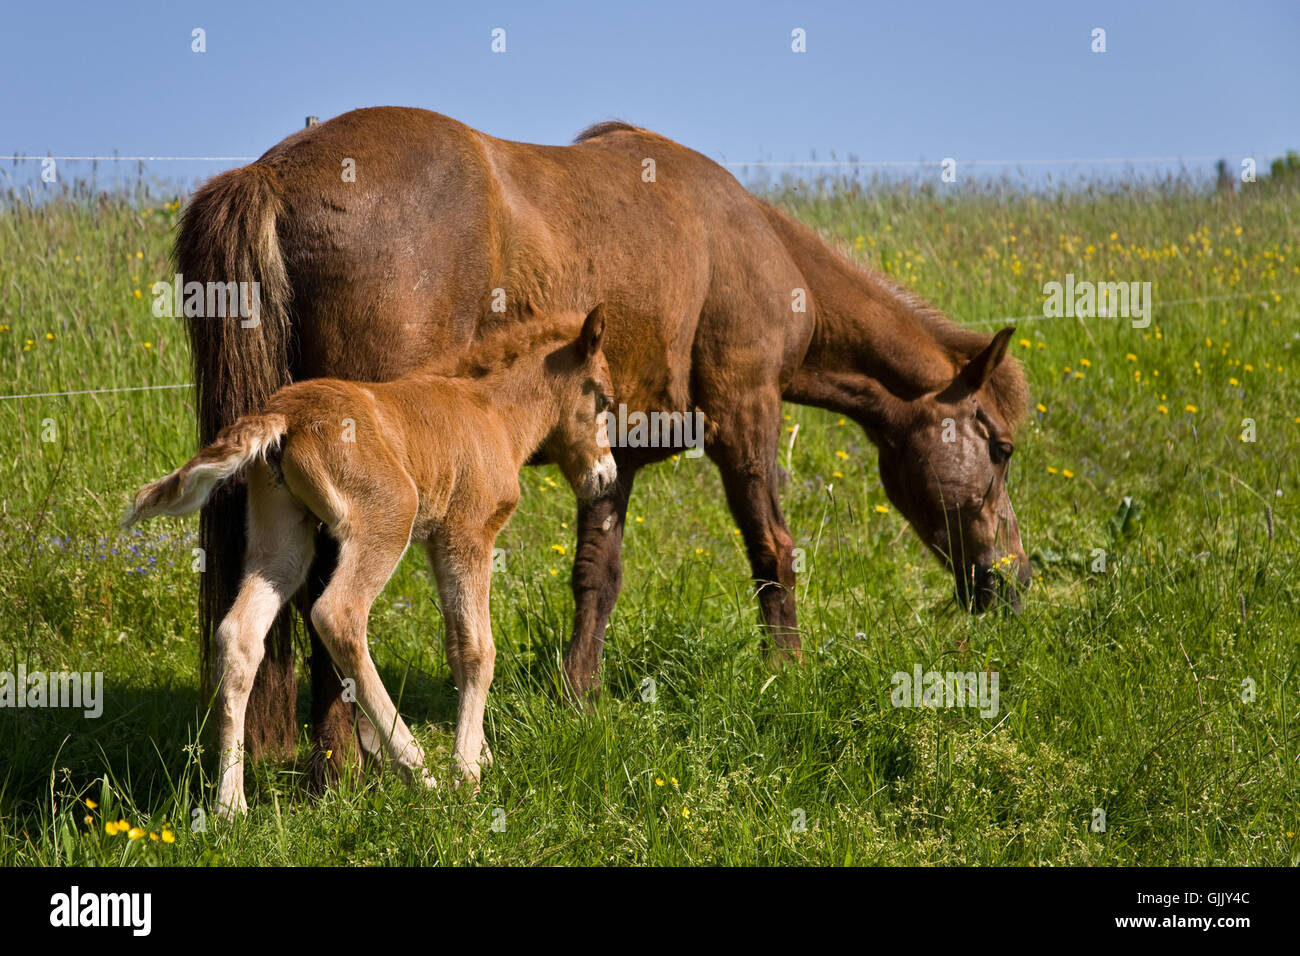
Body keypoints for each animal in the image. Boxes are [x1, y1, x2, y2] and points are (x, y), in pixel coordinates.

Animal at [126, 308, 616, 814]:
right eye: (603, 398)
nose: (605, 477)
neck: (492, 413)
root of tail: (284, 415)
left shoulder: (438, 541)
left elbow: (457, 646)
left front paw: (480, 755)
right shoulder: (470, 531)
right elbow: (479, 649)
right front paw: (467, 773)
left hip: (281, 539)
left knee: (239, 635)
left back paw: (230, 806)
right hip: (388, 516)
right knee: (337, 615)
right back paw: (417, 770)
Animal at [177, 107, 1030, 780]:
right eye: (1000, 446)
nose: (1016, 581)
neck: (749, 243)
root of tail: (273, 174)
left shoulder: (610, 456)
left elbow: (597, 573)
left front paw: (579, 694)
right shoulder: (745, 414)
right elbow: (771, 545)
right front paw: (785, 669)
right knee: (332, 604)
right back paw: (351, 766)